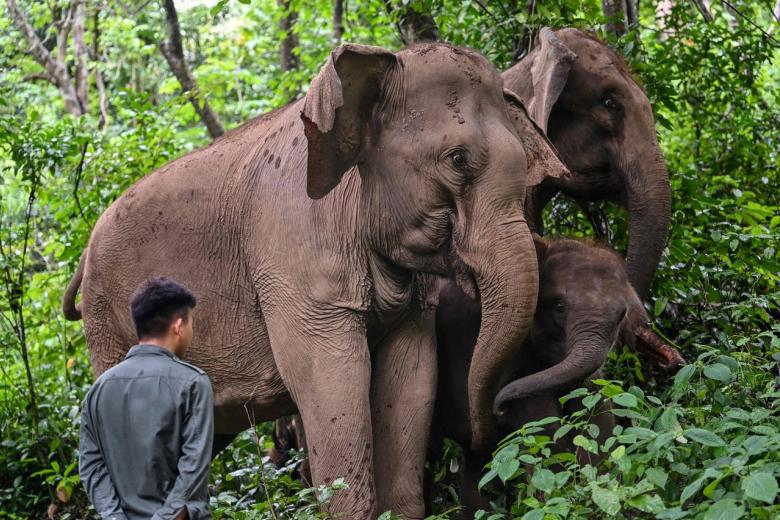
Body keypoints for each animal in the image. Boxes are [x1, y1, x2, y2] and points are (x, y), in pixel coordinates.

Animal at [61, 42, 569, 518]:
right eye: (458, 160)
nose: (495, 419)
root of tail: (84, 255)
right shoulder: (293, 251)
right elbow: (331, 382)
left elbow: (411, 377)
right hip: (106, 322)